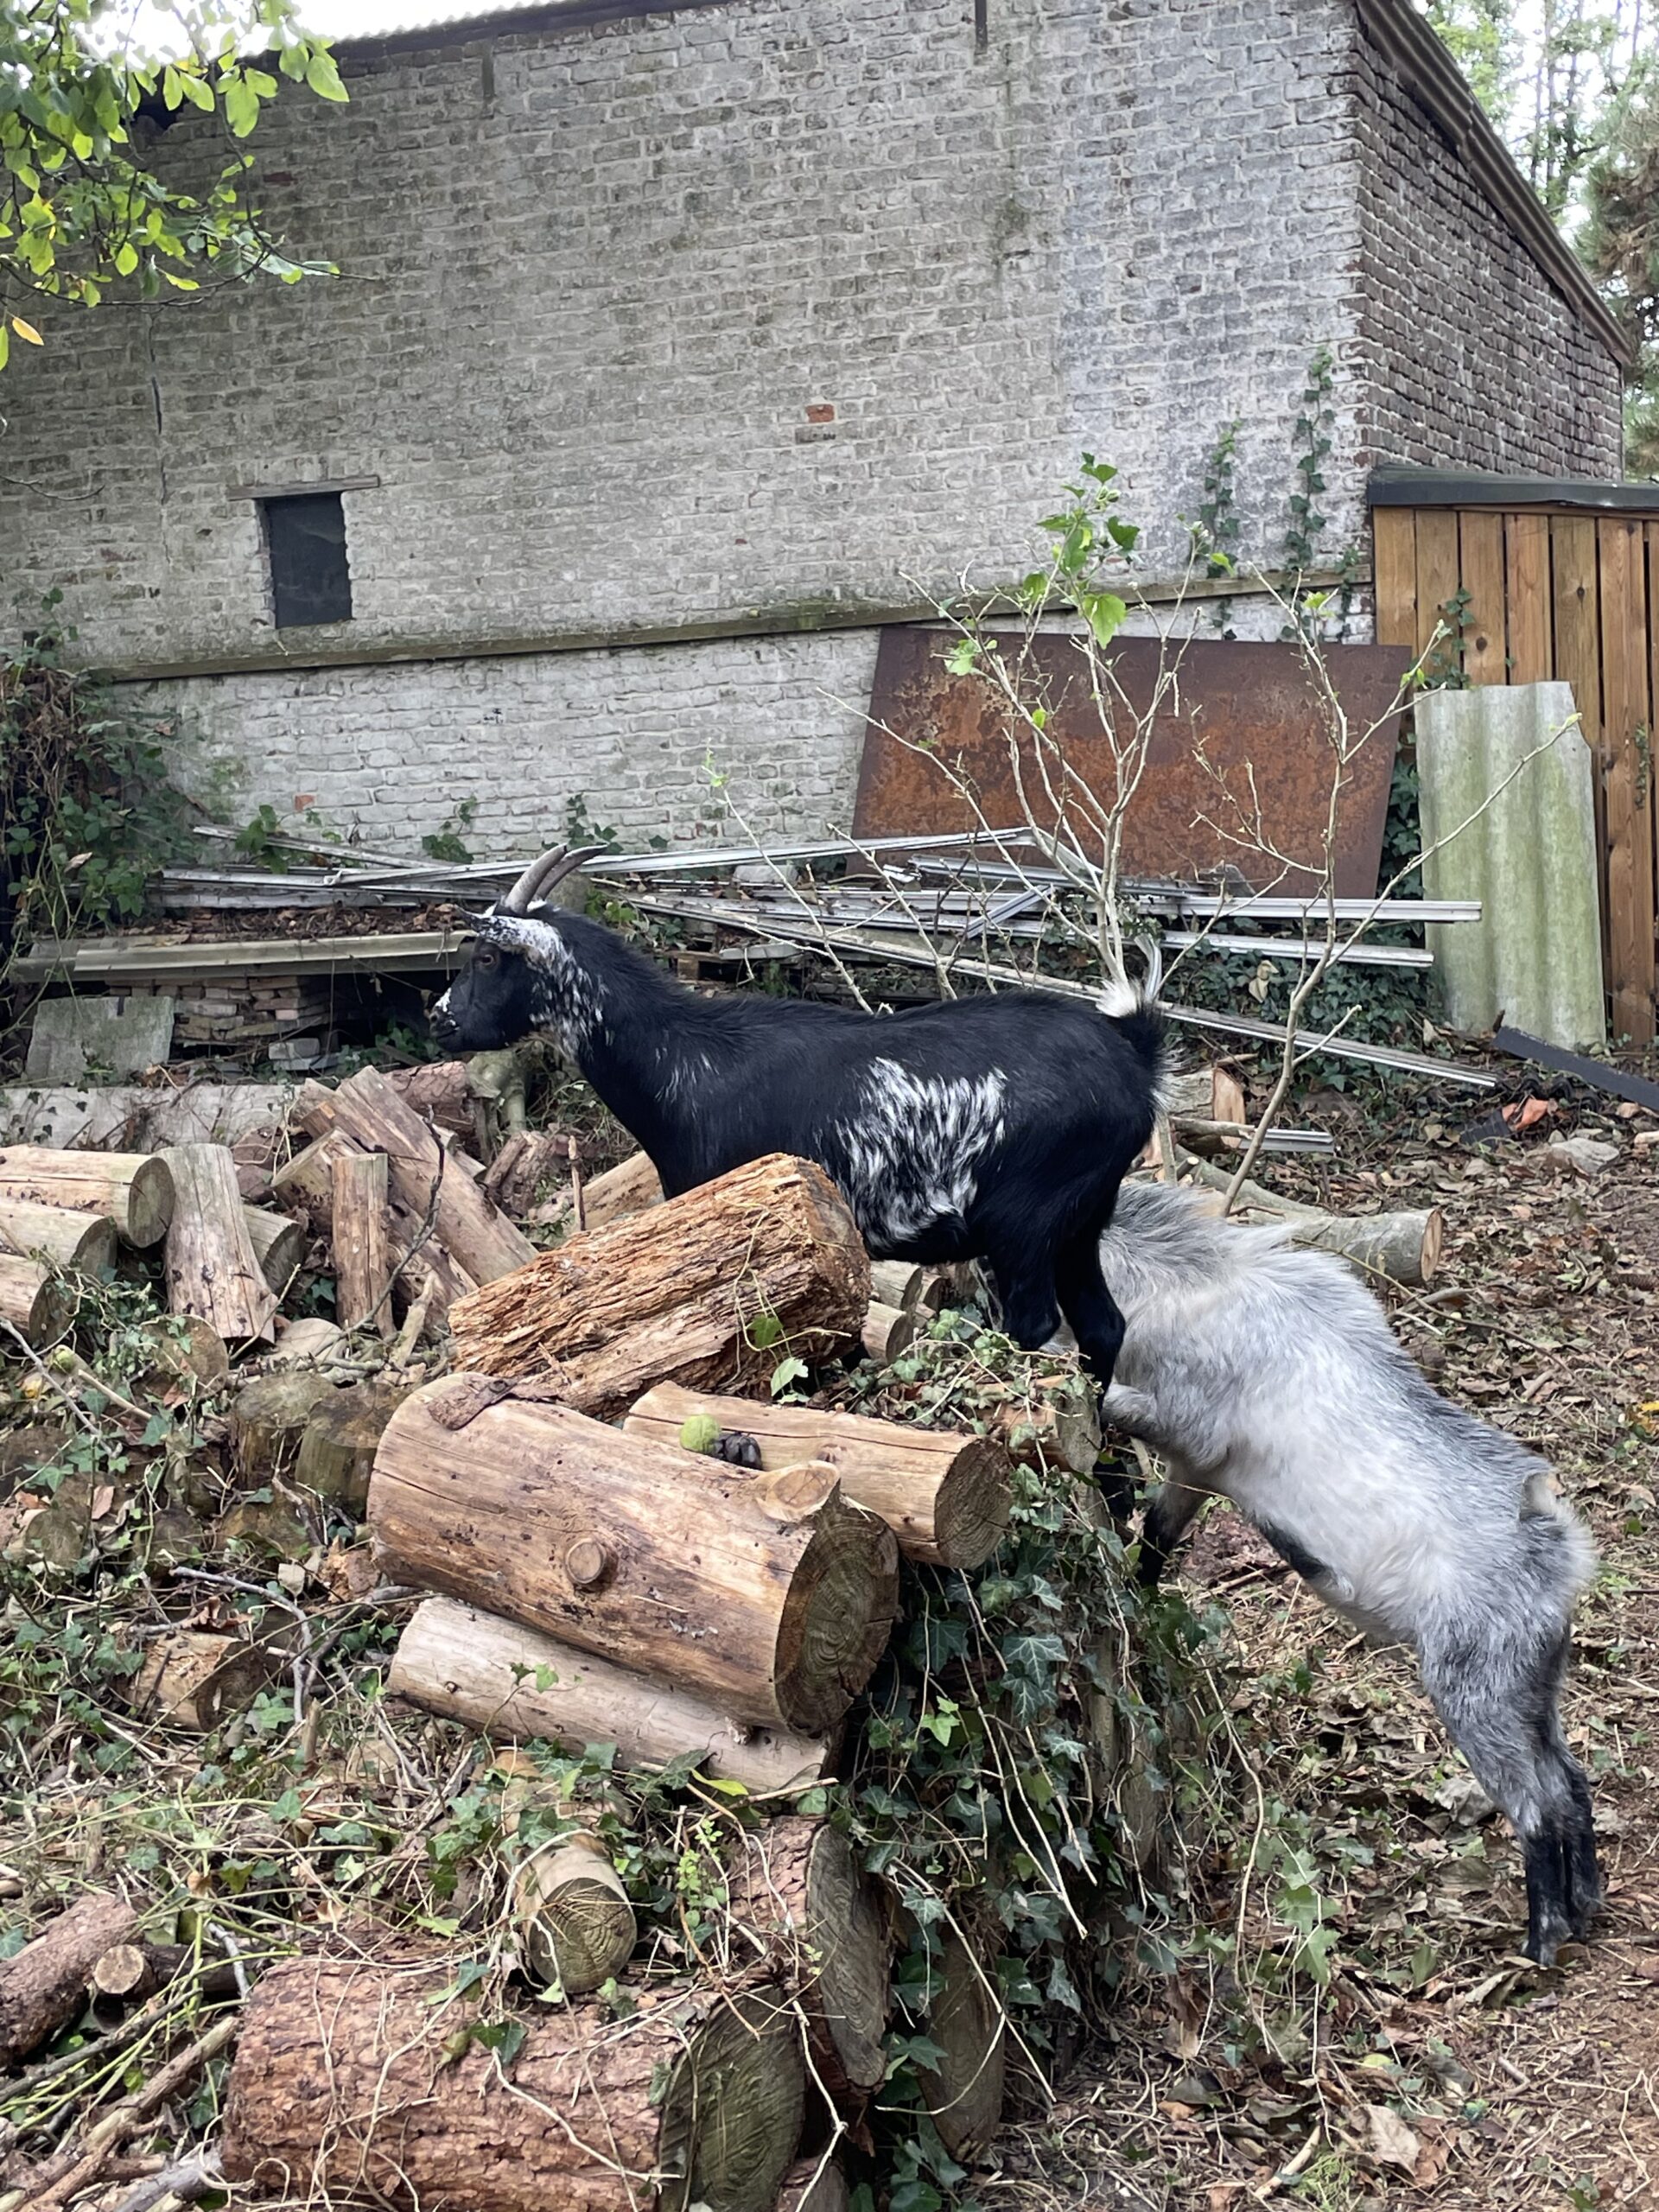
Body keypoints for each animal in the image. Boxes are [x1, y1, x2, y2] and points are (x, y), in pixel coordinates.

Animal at [430, 846, 1163, 1391]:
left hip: (1027, 1222)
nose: (440, 1021)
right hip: (1082, 1221)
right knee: (1105, 1329)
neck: (684, 1059)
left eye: (487, 956)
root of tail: (1132, 1058)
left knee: (1036, 1327)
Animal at [1095, 1177, 1600, 1968]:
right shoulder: (1197, 1470)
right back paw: (1587, 1908)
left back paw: (1540, 1941)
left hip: (1473, 1687)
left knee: (1537, 1804)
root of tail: (1558, 1546)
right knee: (1572, 1782)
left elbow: (1111, 1406)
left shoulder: (1190, 1428)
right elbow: (1158, 1538)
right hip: (1532, 1683)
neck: (1192, 1284)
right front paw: (1136, 1594)